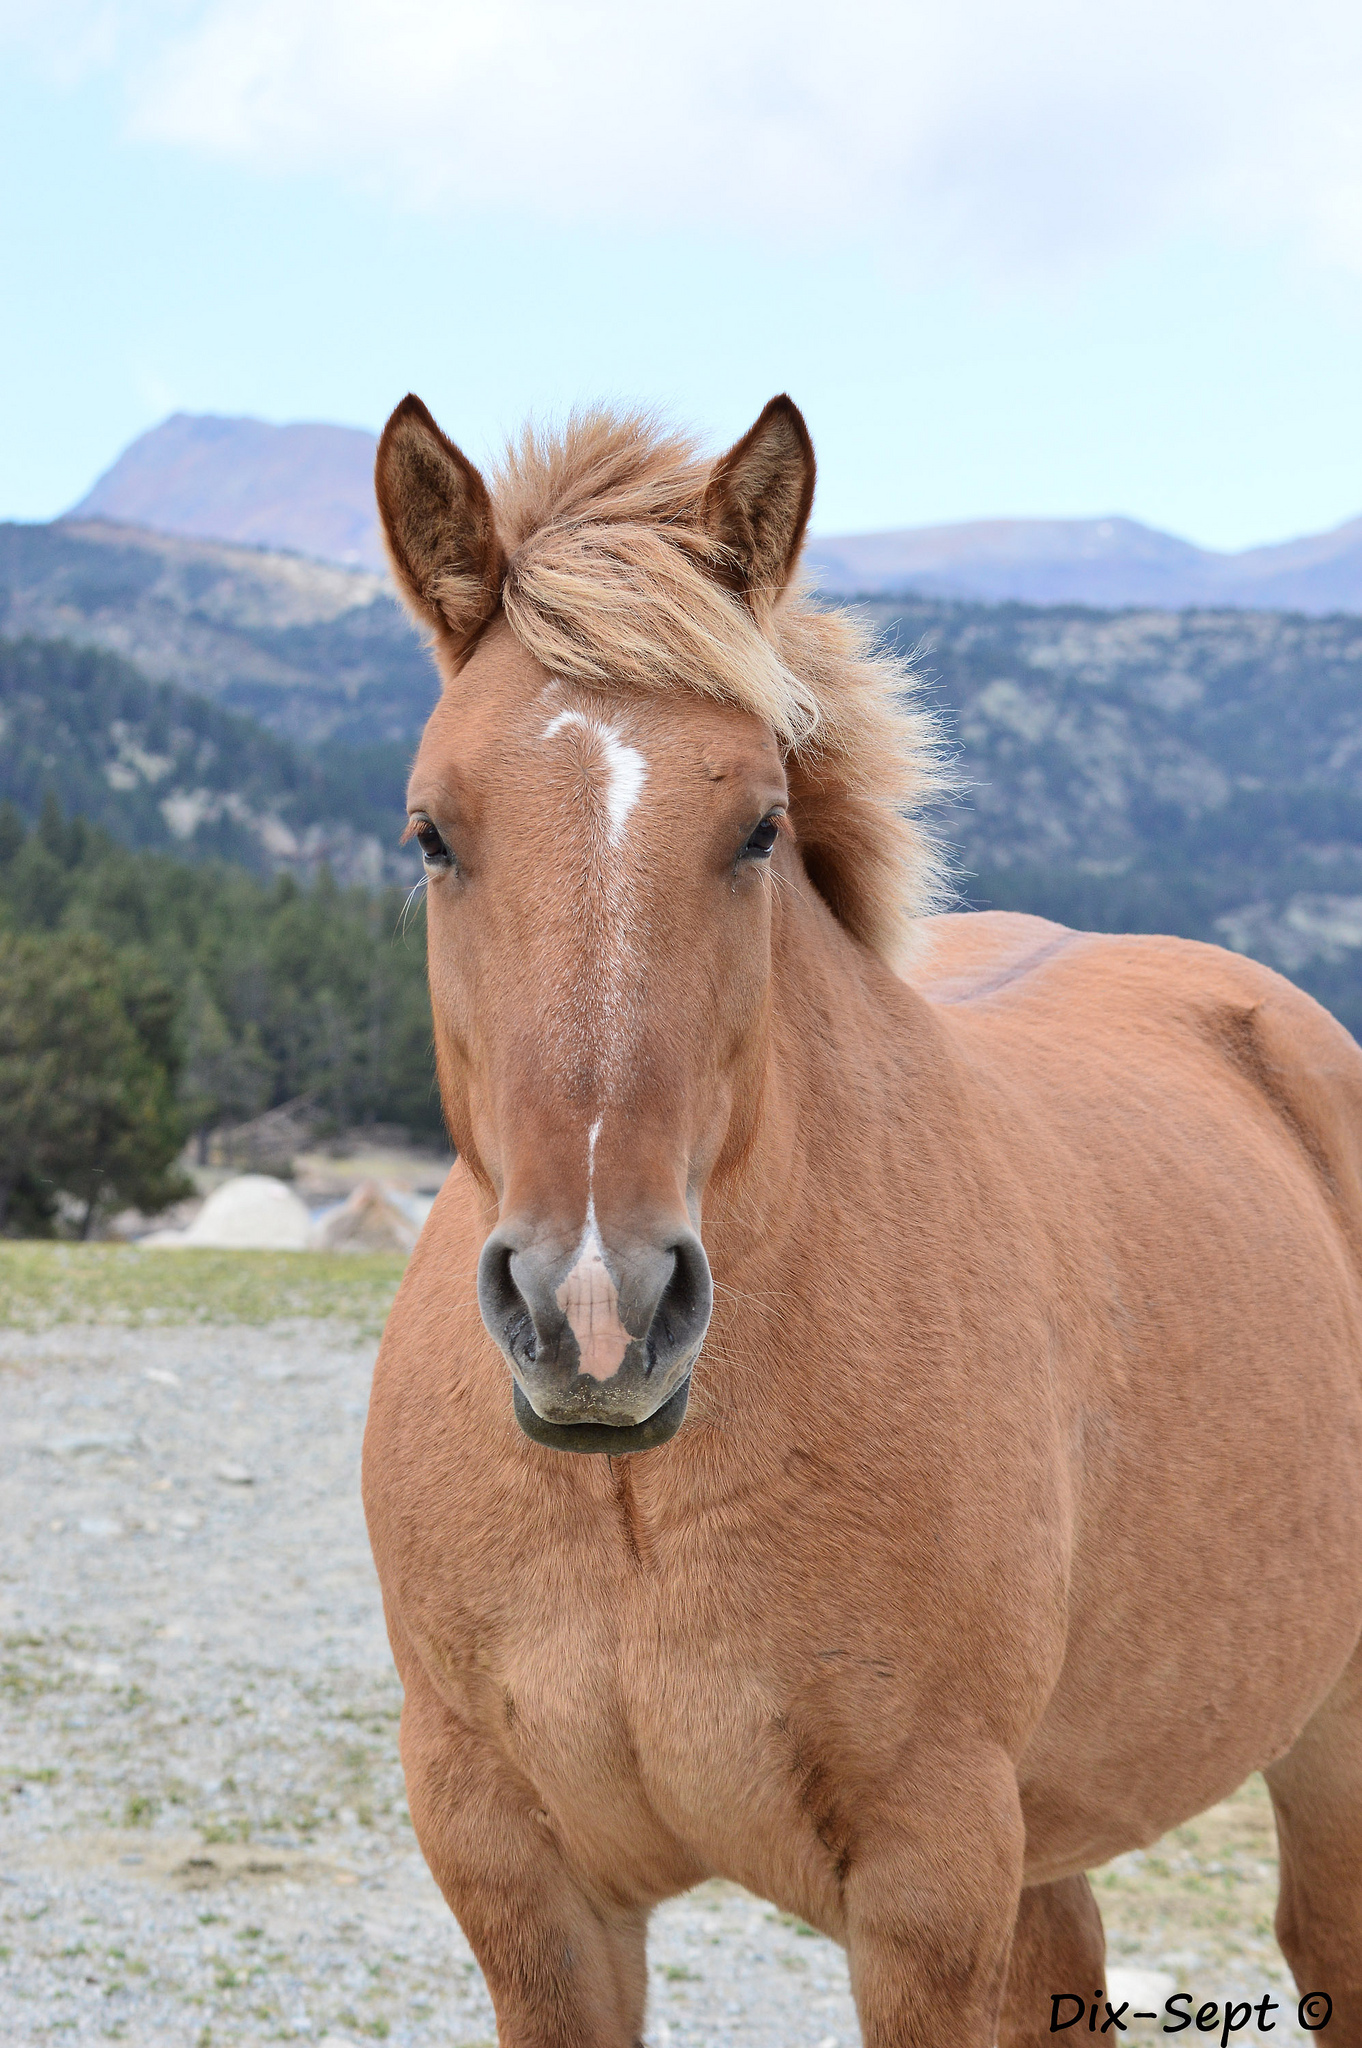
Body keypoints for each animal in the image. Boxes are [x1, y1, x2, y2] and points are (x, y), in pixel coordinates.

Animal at [361, 391, 1362, 2047]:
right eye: (433, 833)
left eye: (759, 827)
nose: (596, 1314)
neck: (636, 1508)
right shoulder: (520, 1880)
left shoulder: (923, 1883)